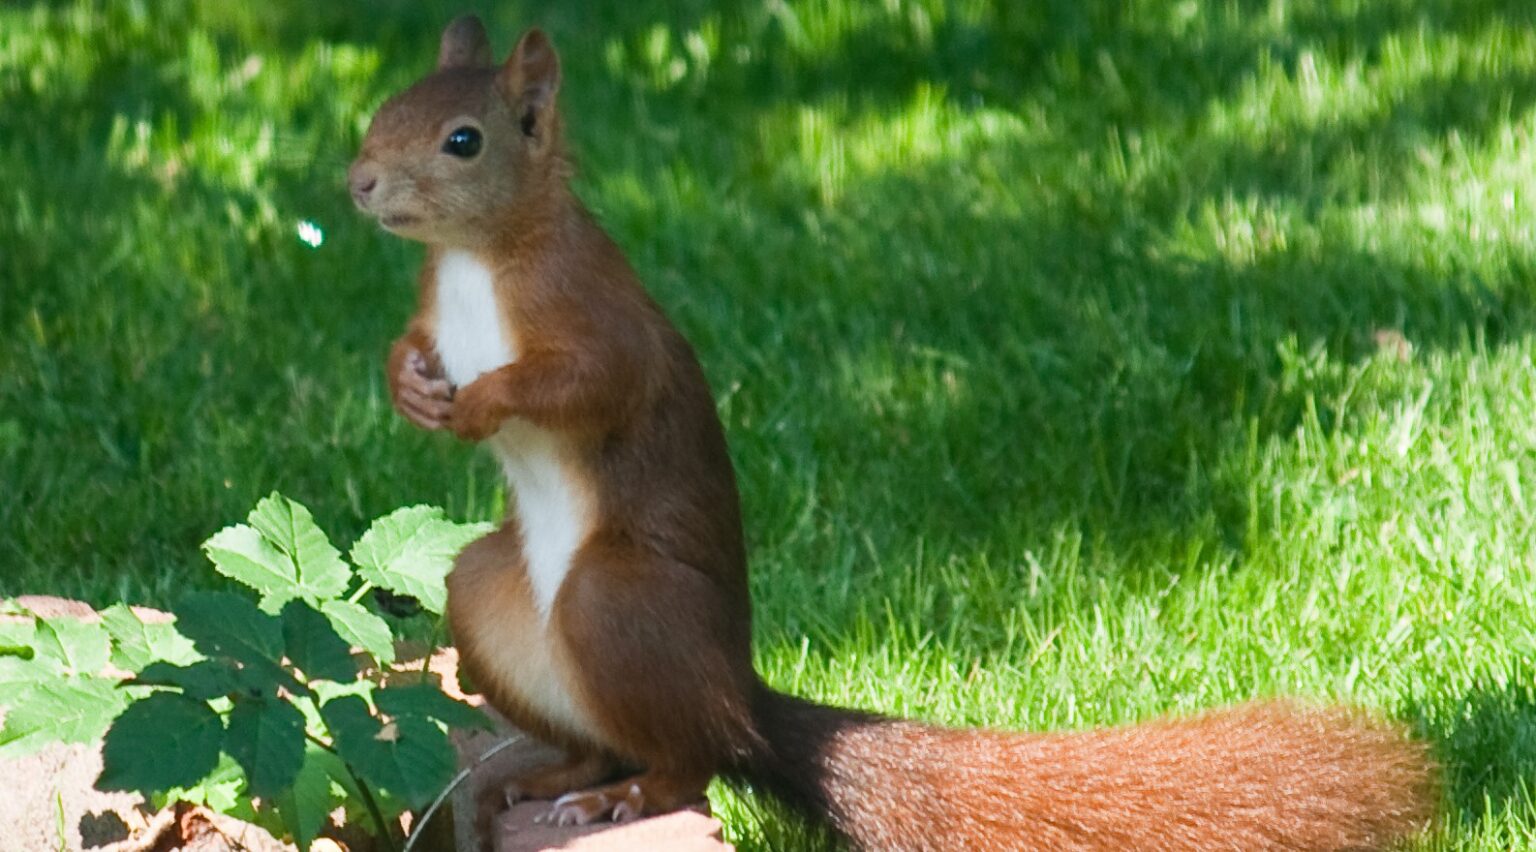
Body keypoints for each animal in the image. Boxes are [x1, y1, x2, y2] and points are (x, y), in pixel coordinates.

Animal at [347, 16, 1438, 850]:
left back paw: (625, 797)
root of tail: (737, 699)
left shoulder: (591, 311)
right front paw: (407, 383)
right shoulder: (437, 307)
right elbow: (413, 344)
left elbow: (588, 385)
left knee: (685, 762)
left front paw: (481, 404)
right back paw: (551, 779)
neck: (477, 259)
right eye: (382, 111)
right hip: (489, 594)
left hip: (617, 603)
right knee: (606, 735)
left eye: (462, 141)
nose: (357, 183)